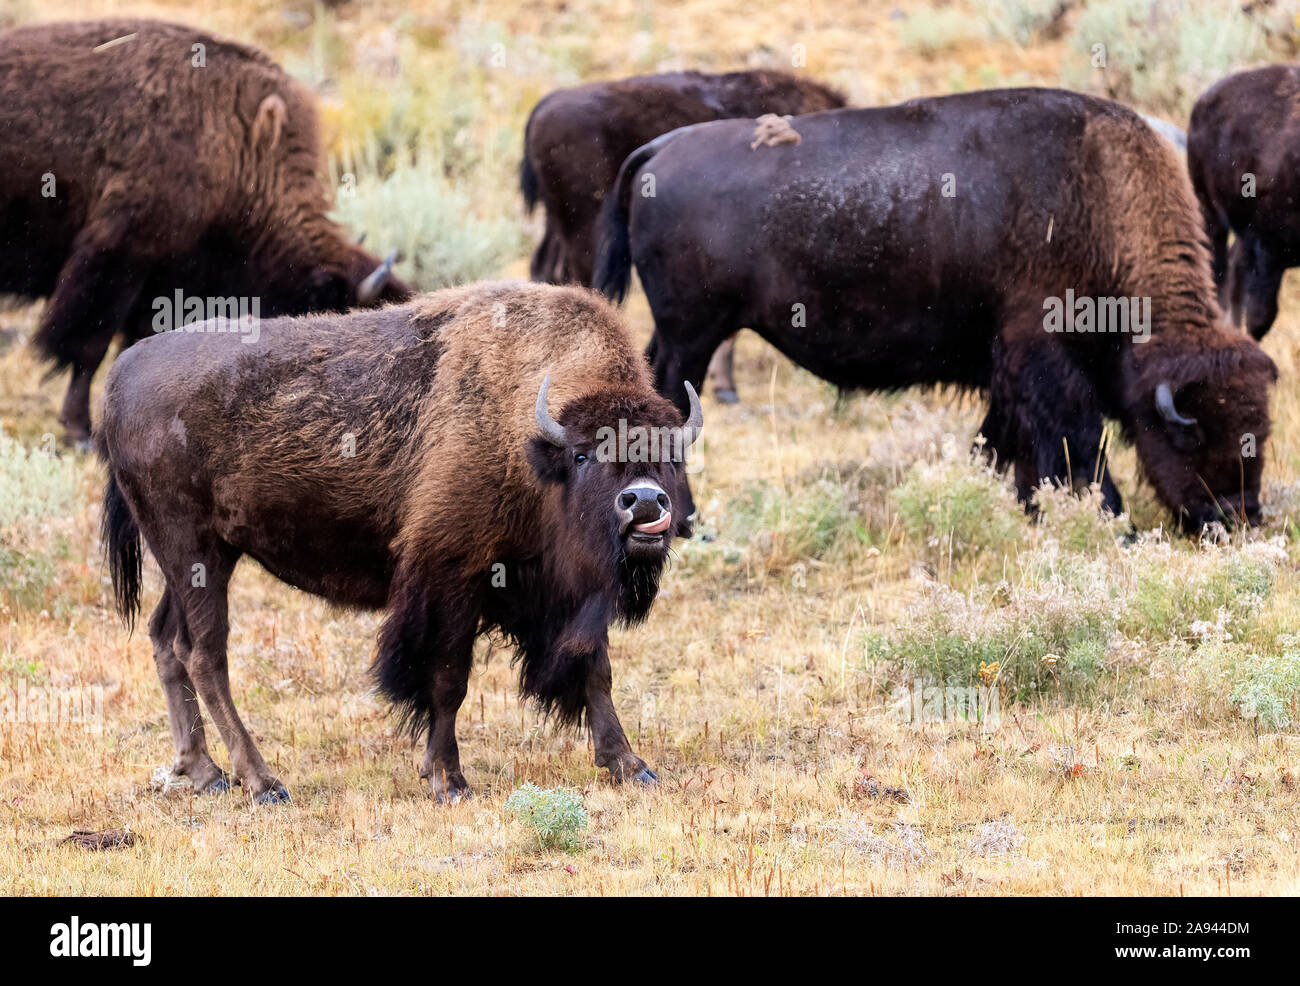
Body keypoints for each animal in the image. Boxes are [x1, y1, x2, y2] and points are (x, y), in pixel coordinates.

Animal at [100, 282, 701, 803]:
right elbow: (448, 679)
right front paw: (448, 781)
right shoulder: (452, 579)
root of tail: (121, 375)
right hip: (193, 550)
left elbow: (596, 670)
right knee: (205, 652)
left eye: (671, 457)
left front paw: (632, 766)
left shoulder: (561, 596)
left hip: (202, 559)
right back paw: (263, 782)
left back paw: (203, 772)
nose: (645, 504)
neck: (527, 442)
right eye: (582, 455)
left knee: (166, 639)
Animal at [595, 88, 1276, 529]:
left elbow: (1005, 442)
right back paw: (684, 518)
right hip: (694, 332)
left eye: (1261, 430)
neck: (1098, 196)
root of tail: (656, 150)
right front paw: (1114, 522)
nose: (1236, 518)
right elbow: (1077, 444)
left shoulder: (1008, 371)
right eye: (1193, 433)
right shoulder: (1047, 360)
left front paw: (1022, 505)